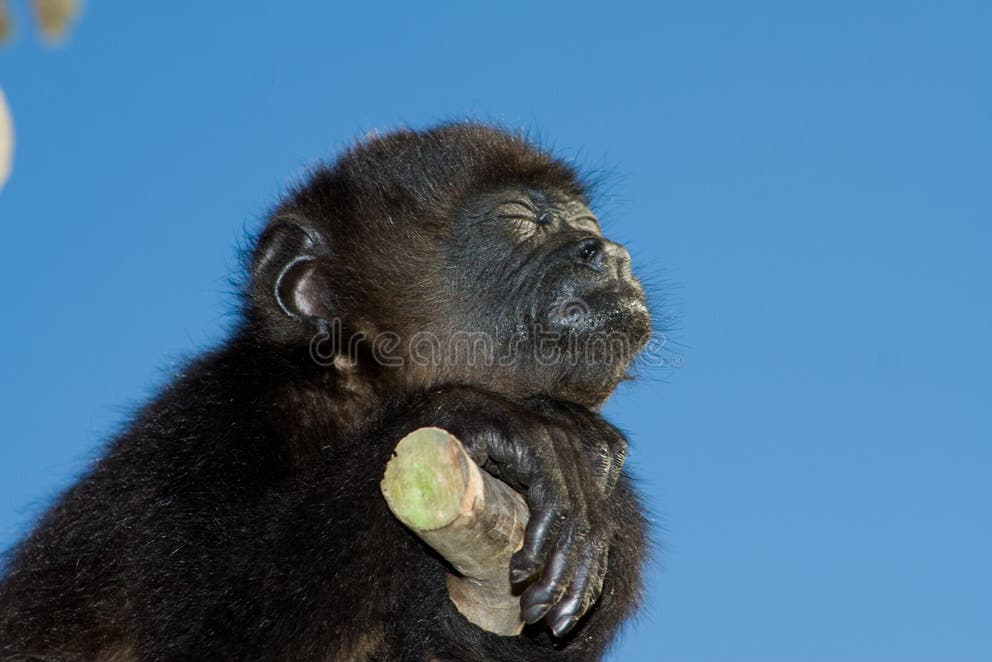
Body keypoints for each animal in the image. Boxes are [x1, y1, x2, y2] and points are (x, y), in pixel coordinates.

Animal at [0, 123, 653, 661]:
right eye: (519, 218)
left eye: (586, 226)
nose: (609, 254)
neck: (354, 402)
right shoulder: (202, 435)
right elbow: (213, 642)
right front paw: (492, 420)